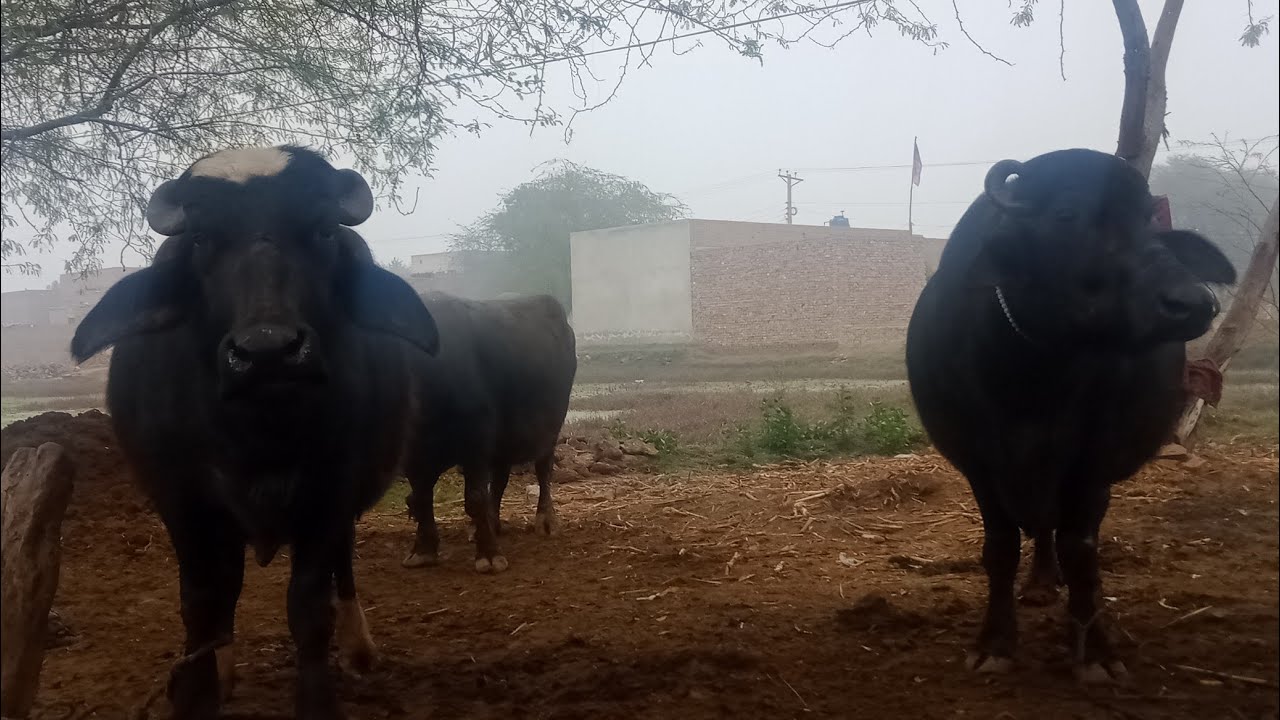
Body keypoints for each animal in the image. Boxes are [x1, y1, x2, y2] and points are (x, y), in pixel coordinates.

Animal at [70, 145, 438, 718]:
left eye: (323, 230)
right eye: (202, 238)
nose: (268, 351)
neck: (260, 431)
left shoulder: (330, 494)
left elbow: (309, 605)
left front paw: (318, 701)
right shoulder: (183, 500)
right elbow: (202, 605)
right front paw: (195, 695)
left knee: (342, 569)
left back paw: (358, 648)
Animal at [400, 292, 577, 573]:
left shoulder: (477, 444)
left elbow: (474, 498)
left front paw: (490, 555)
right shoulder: (414, 457)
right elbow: (420, 498)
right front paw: (423, 550)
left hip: (549, 430)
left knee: (543, 471)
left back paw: (546, 521)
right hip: (503, 443)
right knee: (500, 479)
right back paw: (491, 523)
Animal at [905, 149, 1236, 682]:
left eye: (1149, 220)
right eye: (1065, 214)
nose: (1192, 303)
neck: (1037, 377)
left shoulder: (1092, 465)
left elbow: (1080, 550)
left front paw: (1096, 649)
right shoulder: (980, 465)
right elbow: (1000, 548)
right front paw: (995, 643)